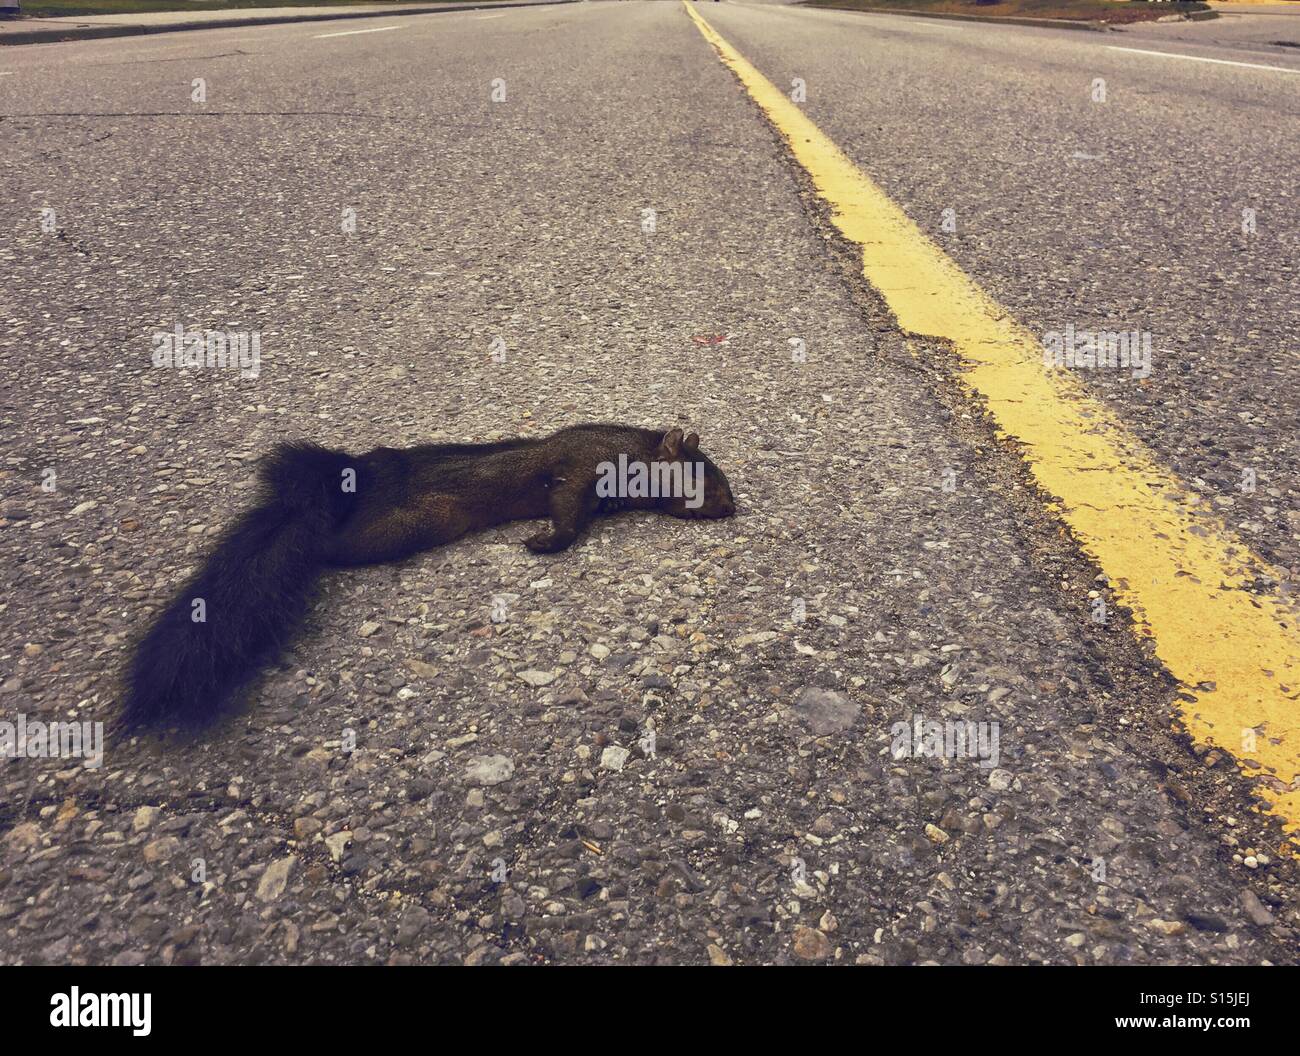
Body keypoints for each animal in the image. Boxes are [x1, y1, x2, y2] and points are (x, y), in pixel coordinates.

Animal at [119, 424, 736, 730]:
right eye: (704, 477)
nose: (731, 509)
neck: (631, 452)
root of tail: (350, 484)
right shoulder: (578, 472)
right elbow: (565, 513)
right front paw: (544, 543)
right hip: (406, 524)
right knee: (329, 546)